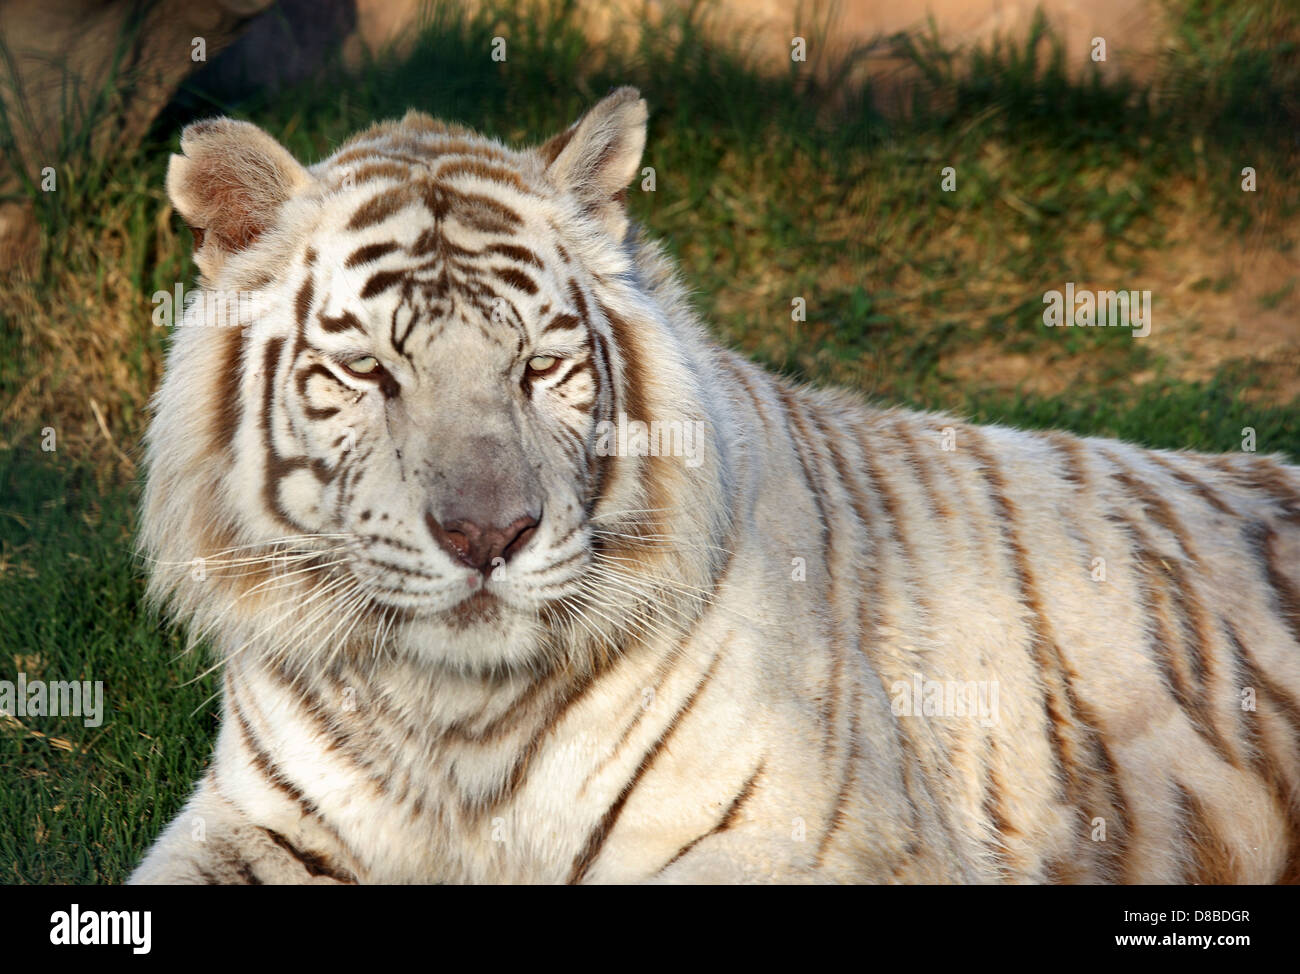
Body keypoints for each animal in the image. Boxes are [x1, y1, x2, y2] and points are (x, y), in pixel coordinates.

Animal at [129, 86, 1300, 885]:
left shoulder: (815, 836)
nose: (488, 535)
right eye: (370, 373)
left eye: (538, 368)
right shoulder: (255, 820)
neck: (450, 718)